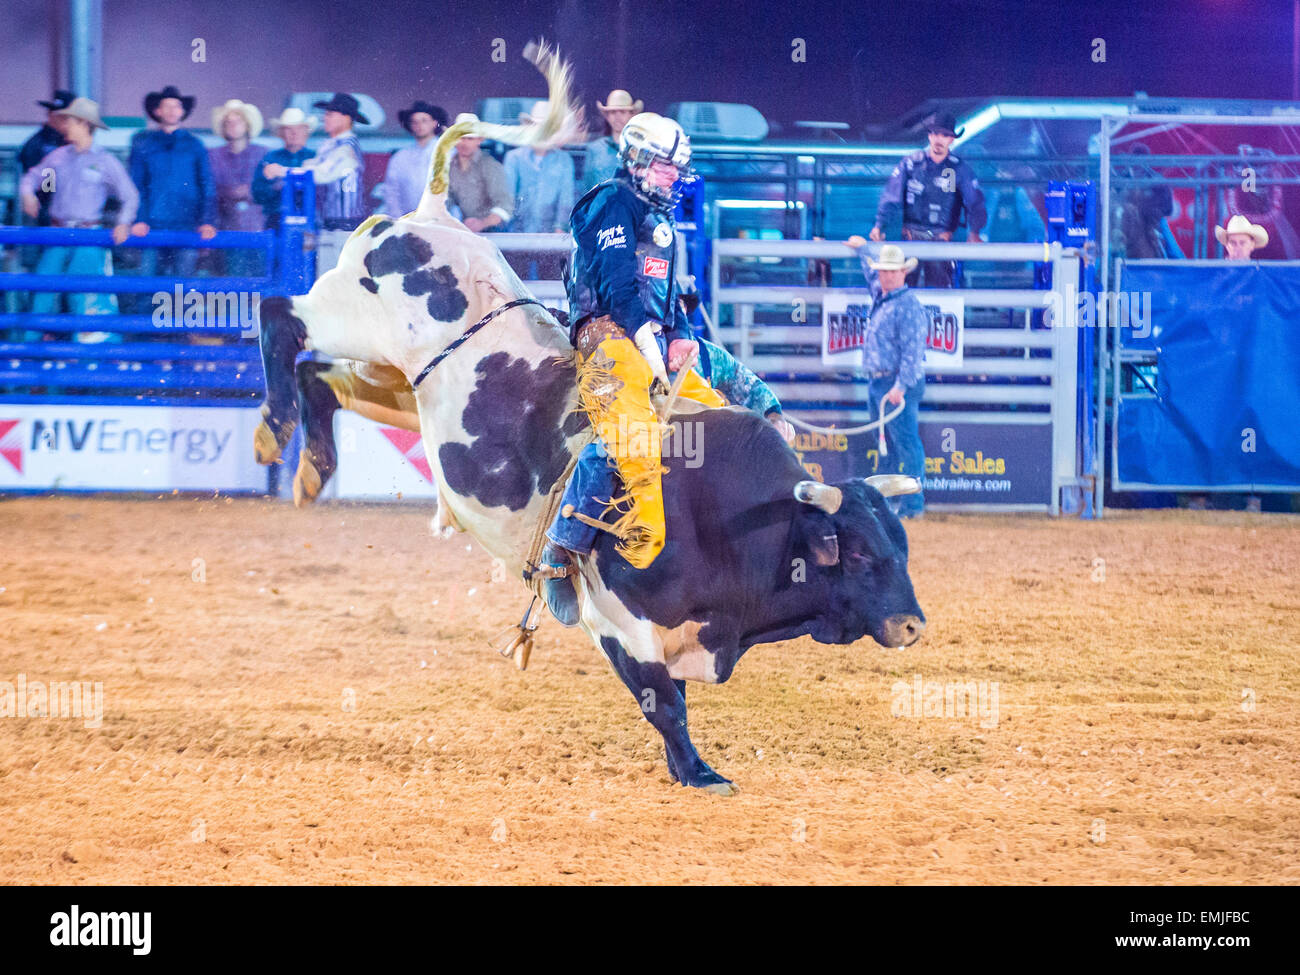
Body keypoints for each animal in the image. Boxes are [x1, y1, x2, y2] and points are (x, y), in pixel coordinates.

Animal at [255, 43, 926, 795]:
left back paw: (311, 466)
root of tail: (428, 216)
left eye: (901, 544)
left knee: (322, 379)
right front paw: (700, 773)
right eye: (859, 550)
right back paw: (273, 427)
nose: (911, 625)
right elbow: (663, 700)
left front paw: (691, 767)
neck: (729, 517)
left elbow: (675, 696)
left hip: (404, 384)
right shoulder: (618, 621)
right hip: (351, 314)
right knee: (279, 314)